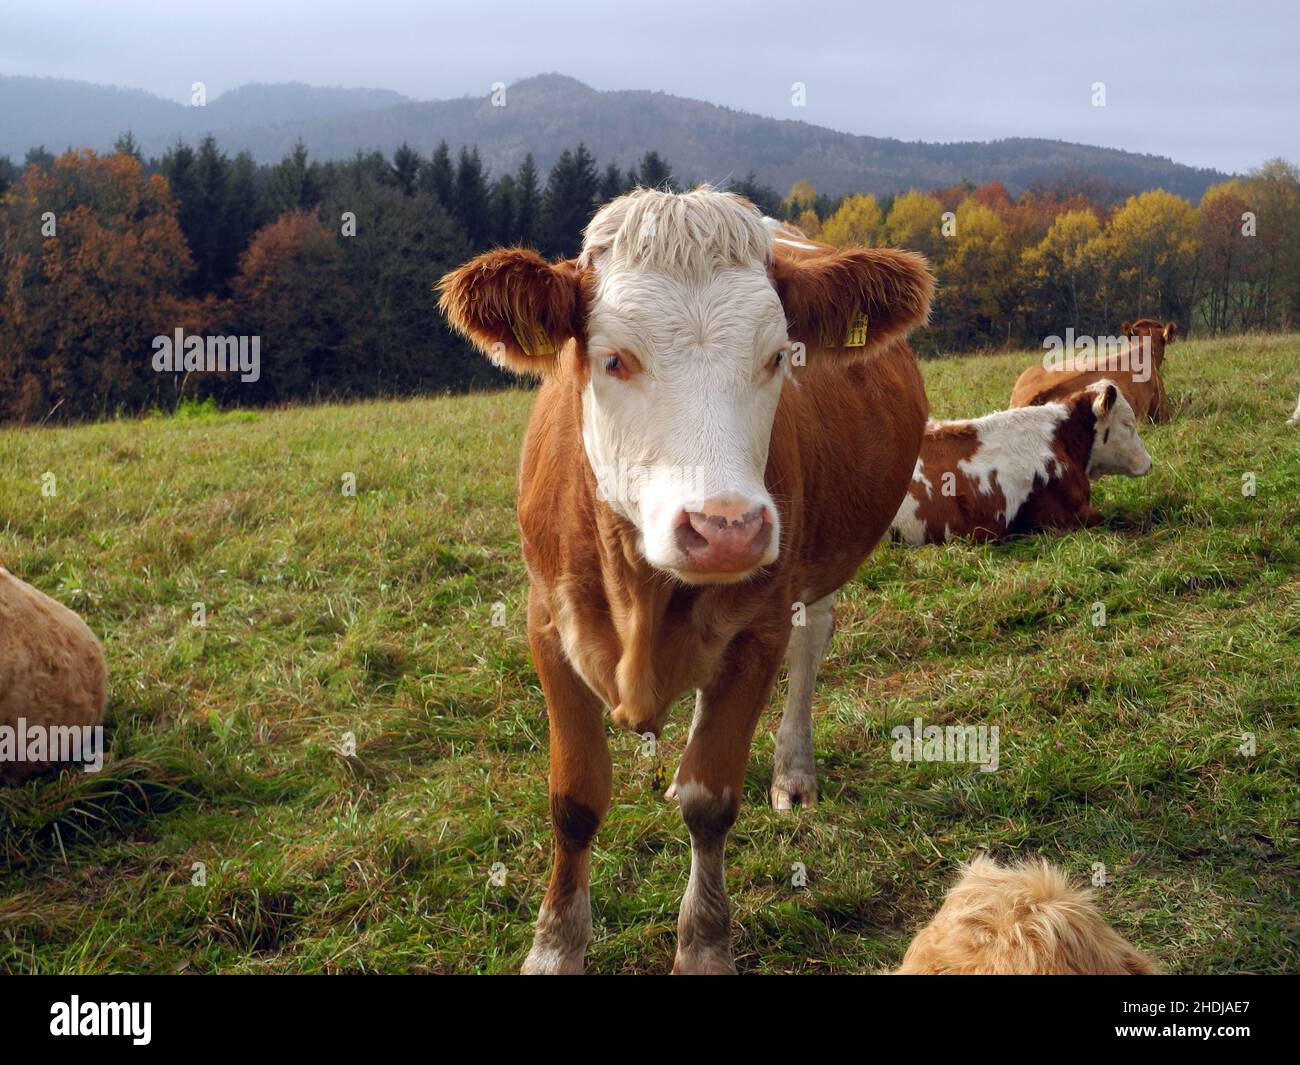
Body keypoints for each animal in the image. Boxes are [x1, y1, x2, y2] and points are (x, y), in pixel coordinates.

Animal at [438, 187, 933, 974]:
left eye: (779, 357)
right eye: (614, 359)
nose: (725, 527)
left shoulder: (757, 631)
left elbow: (709, 799)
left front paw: (703, 945)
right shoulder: (545, 622)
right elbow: (574, 798)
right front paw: (554, 947)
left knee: (811, 646)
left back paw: (794, 772)